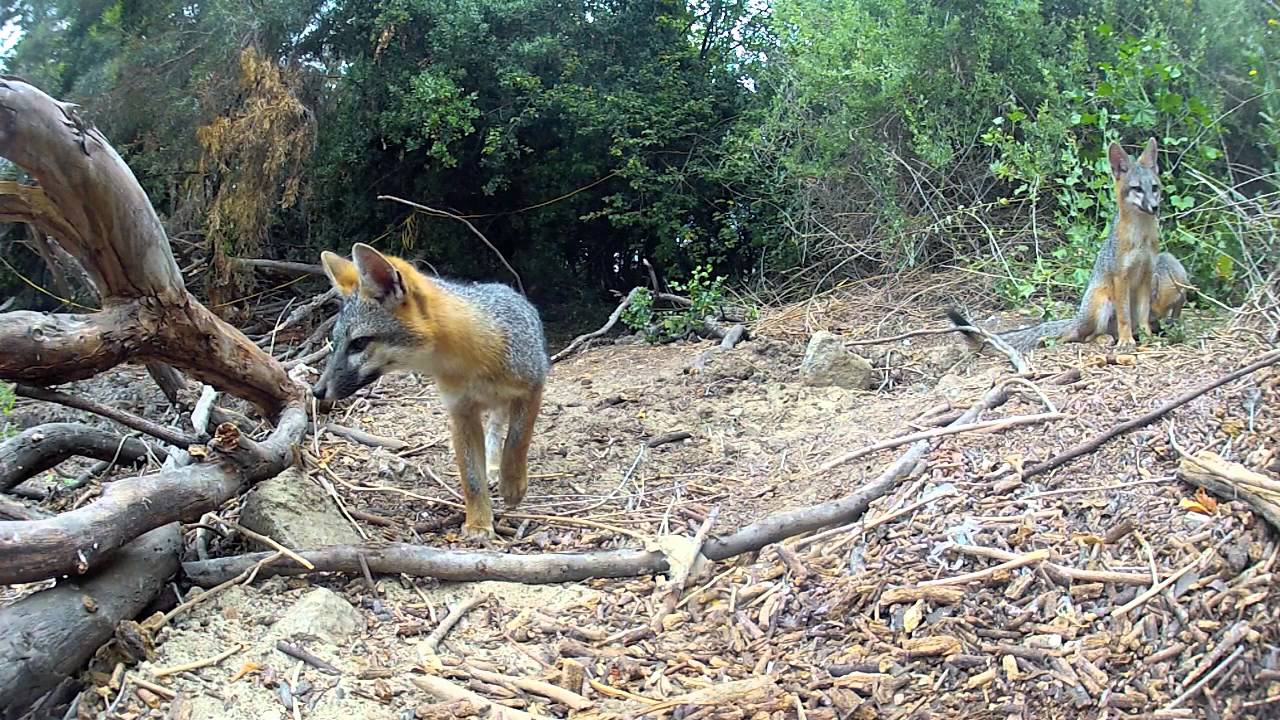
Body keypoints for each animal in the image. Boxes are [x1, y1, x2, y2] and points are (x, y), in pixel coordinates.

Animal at [312, 243, 549, 542]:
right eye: (335, 343)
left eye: (359, 343)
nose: (317, 391)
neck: (468, 363)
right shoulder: (461, 413)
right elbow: (472, 479)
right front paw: (479, 523)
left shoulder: (533, 387)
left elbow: (518, 441)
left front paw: (513, 485)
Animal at [948, 138, 1175, 353]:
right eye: (1137, 189)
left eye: (1154, 188)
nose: (1155, 207)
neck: (1141, 237)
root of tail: (1077, 318)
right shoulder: (1121, 276)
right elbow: (1124, 317)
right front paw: (1126, 341)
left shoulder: (1147, 274)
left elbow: (1143, 314)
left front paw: (1148, 336)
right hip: (1102, 304)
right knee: (1076, 336)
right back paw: (1104, 339)